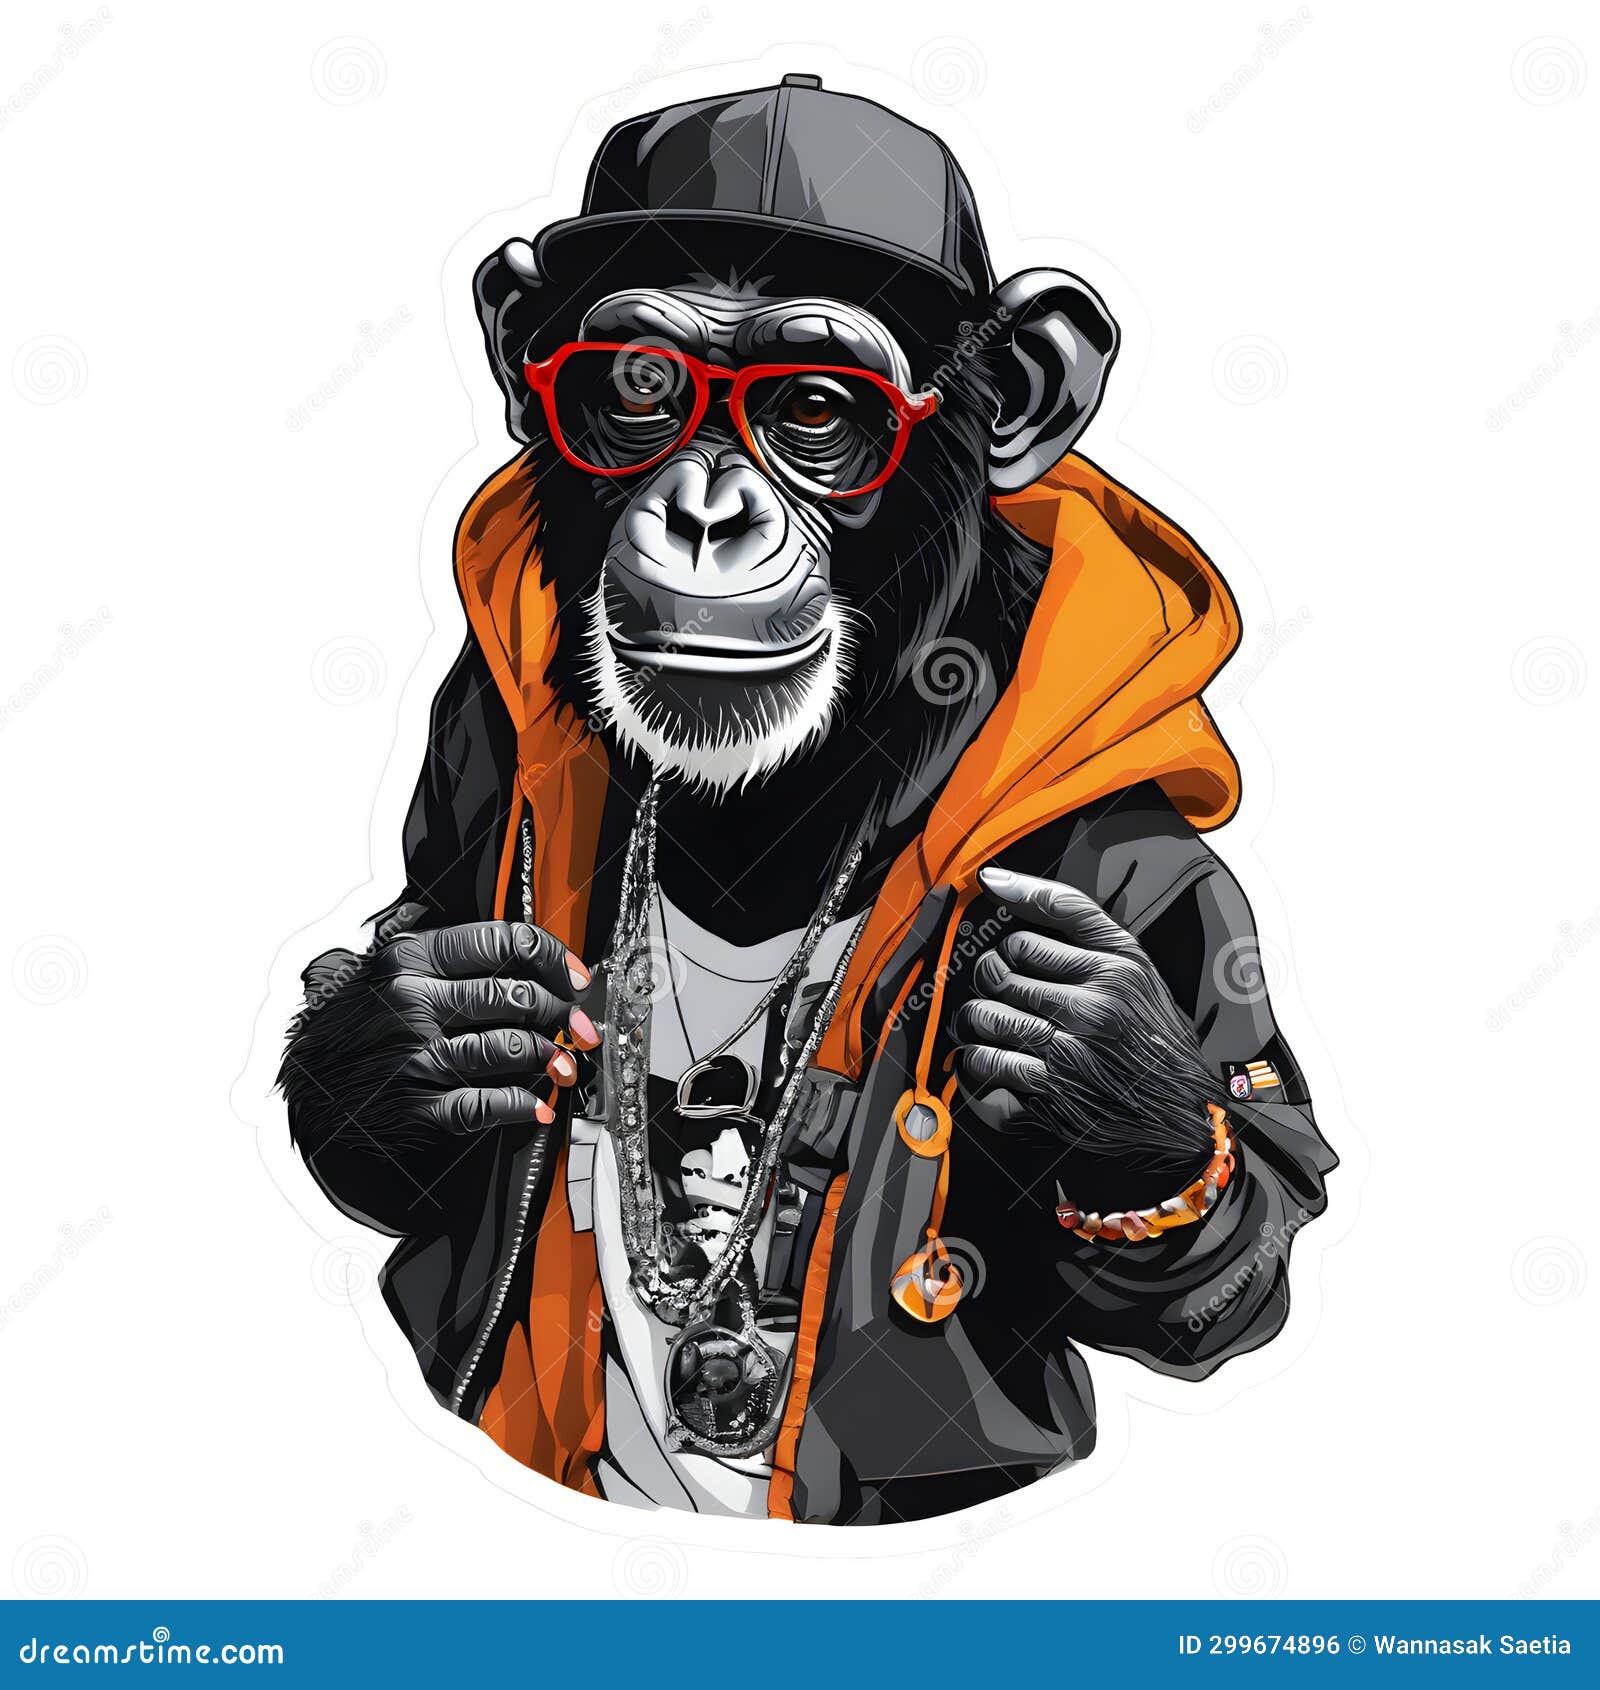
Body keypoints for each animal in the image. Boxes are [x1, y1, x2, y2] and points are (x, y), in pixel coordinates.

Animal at [281, 75, 1334, 1524]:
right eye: (641, 385)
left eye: (818, 411)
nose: (706, 513)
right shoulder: (470, 728)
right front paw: (410, 1035)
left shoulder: (1157, 868)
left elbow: (1270, 1164)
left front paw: (1109, 1066)